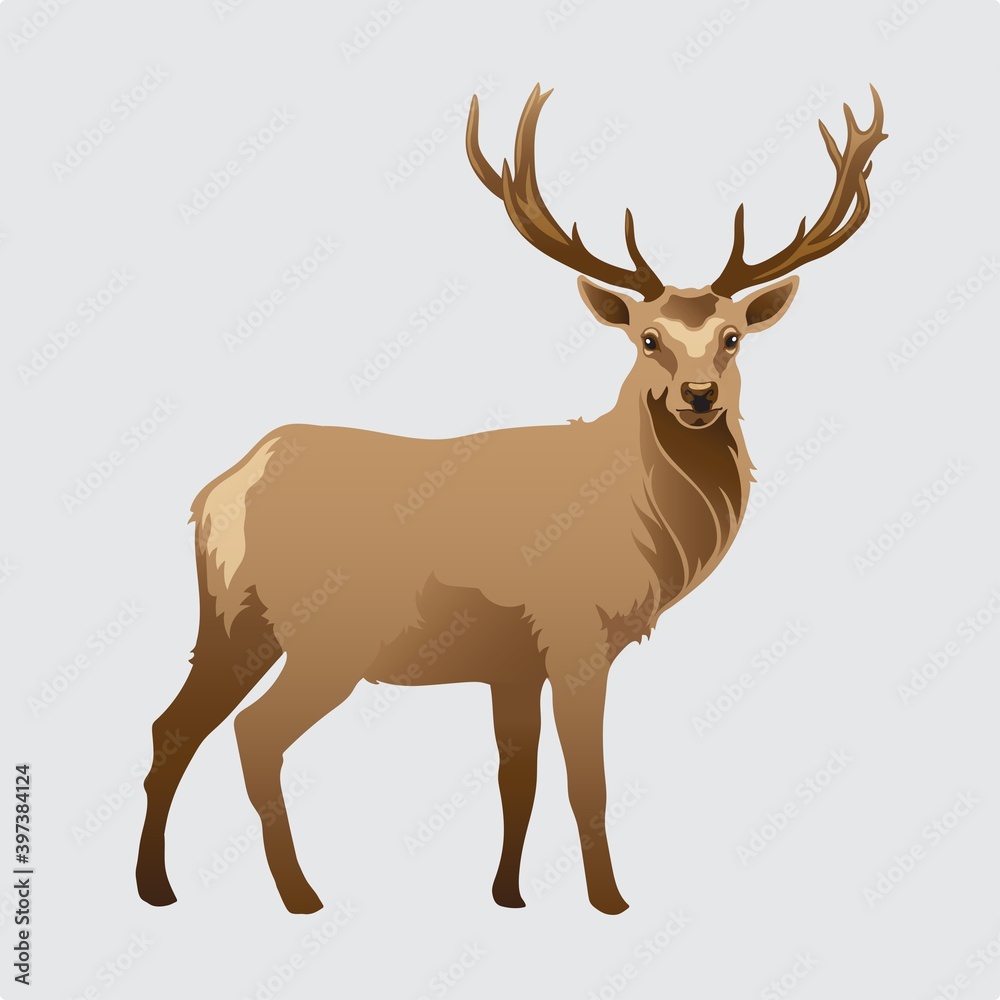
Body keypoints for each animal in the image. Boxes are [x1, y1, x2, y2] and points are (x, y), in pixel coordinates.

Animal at [137, 83, 886, 916]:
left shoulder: (510, 664)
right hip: (331, 634)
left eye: (732, 337)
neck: (643, 532)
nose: (698, 396)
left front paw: (507, 895)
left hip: (231, 622)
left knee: (171, 726)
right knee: (253, 732)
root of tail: (217, 497)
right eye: (647, 338)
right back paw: (301, 895)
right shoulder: (576, 631)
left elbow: (515, 779)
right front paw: (609, 901)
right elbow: (586, 782)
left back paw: (157, 886)